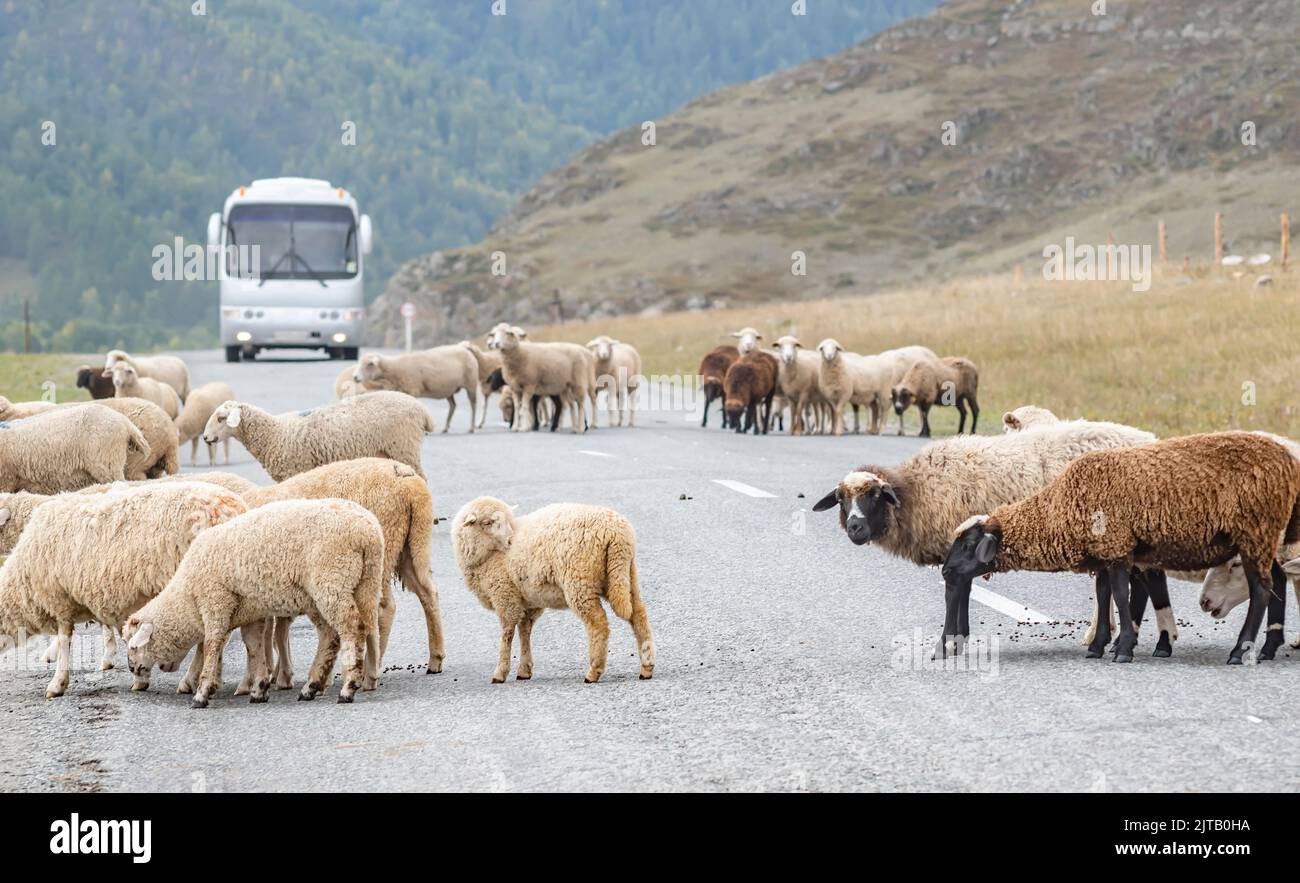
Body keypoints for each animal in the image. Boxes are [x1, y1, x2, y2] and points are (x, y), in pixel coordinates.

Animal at [0, 482, 246, 696]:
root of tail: (233, 507)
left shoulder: (60, 599)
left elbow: (64, 641)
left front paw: (57, 684)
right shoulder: (116, 599)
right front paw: (138, 675)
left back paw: (190, 680)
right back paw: (214, 678)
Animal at [123, 499, 384, 707]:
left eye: (133, 645)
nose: (132, 669)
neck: (186, 597)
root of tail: (368, 532)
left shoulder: (216, 602)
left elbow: (212, 645)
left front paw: (202, 692)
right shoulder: (250, 612)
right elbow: (253, 646)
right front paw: (259, 688)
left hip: (332, 580)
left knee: (351, 629)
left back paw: (347, 688)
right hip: (362, 584)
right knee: (334, 635)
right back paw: (311, 687)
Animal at [202, 391, 433, 481]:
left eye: (221, 418)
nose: (205, 438)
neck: (274, 432)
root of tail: (421, 410)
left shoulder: (294, 470)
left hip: (404, 445)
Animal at [451, 496, 654, 684]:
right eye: (487, 522)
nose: (510, 541)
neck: (483, 556)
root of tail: (617, 533)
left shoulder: (504, 595)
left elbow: (507, 633)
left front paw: (500, 672)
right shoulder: (528, 601)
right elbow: (524, 631)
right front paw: (524, 669)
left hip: (580, 581)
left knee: (598, 623)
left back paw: (593, 672)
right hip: (623, 575)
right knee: (638, 614)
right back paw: (647, 666)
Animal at [943, 432, 1300, 664]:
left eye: (969, 544)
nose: (945, 570)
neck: (1058, 508)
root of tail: (1288, 461)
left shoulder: (1115, 547)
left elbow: (1119, 594)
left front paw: (1123, 648)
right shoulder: (1105, 551)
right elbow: (1104, 595)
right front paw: (1099, 646)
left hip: (1256, 530)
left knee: (1262, 589)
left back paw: (1241, 651)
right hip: (1267, 535)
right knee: (1276, 583)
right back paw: (1266, 648)